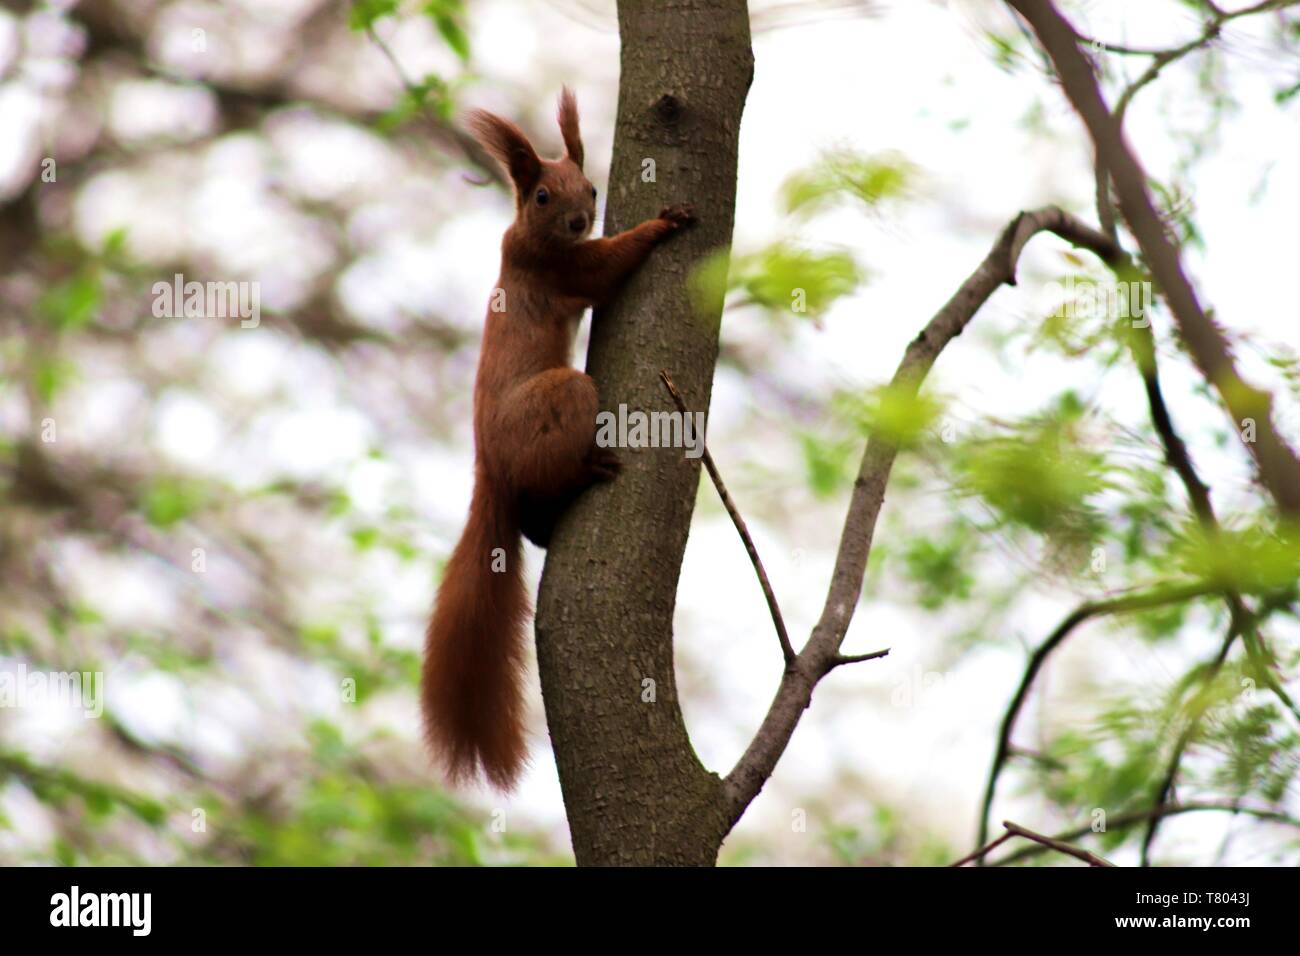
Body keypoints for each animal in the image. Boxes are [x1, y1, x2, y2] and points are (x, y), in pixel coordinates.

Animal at [421, 88, 696, 790]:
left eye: (593, 187)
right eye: (542, 195)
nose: (579, 220)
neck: (524, 233)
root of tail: (489, 467)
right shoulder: (560, 266)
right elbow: (609, 265)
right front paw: (664, 223)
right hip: (558, 400)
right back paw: (587, 472)